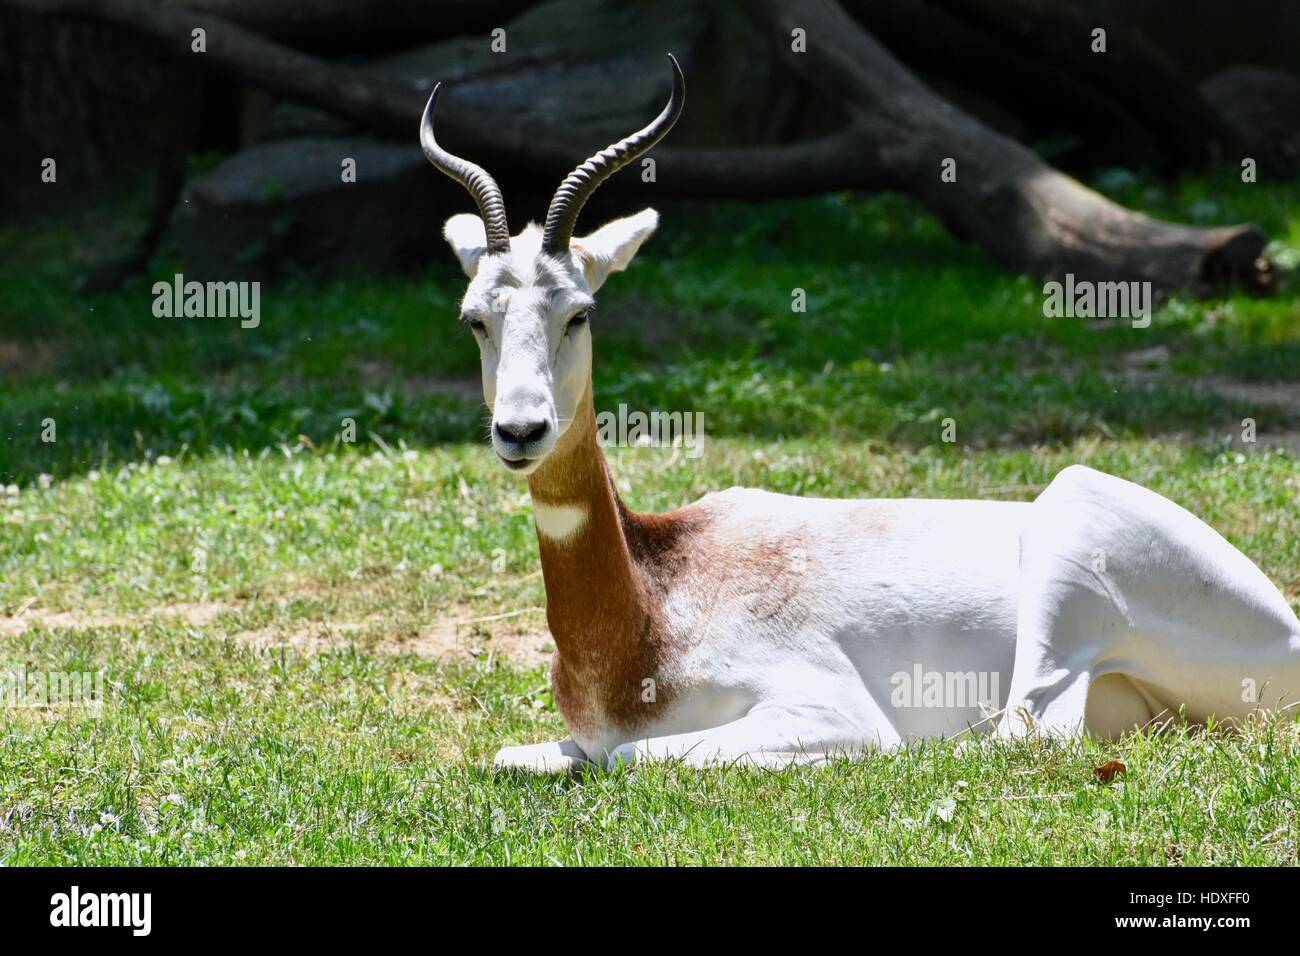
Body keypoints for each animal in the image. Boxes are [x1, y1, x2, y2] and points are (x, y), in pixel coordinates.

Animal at [421, 56, 1300, 771]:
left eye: (578, 313)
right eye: (473, 318)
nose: (521, 431)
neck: (656, 596)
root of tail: (1281, 617)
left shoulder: (828, 713)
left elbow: (630, 757)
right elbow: (522, 755)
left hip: (1070, 539)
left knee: (1027, 729)